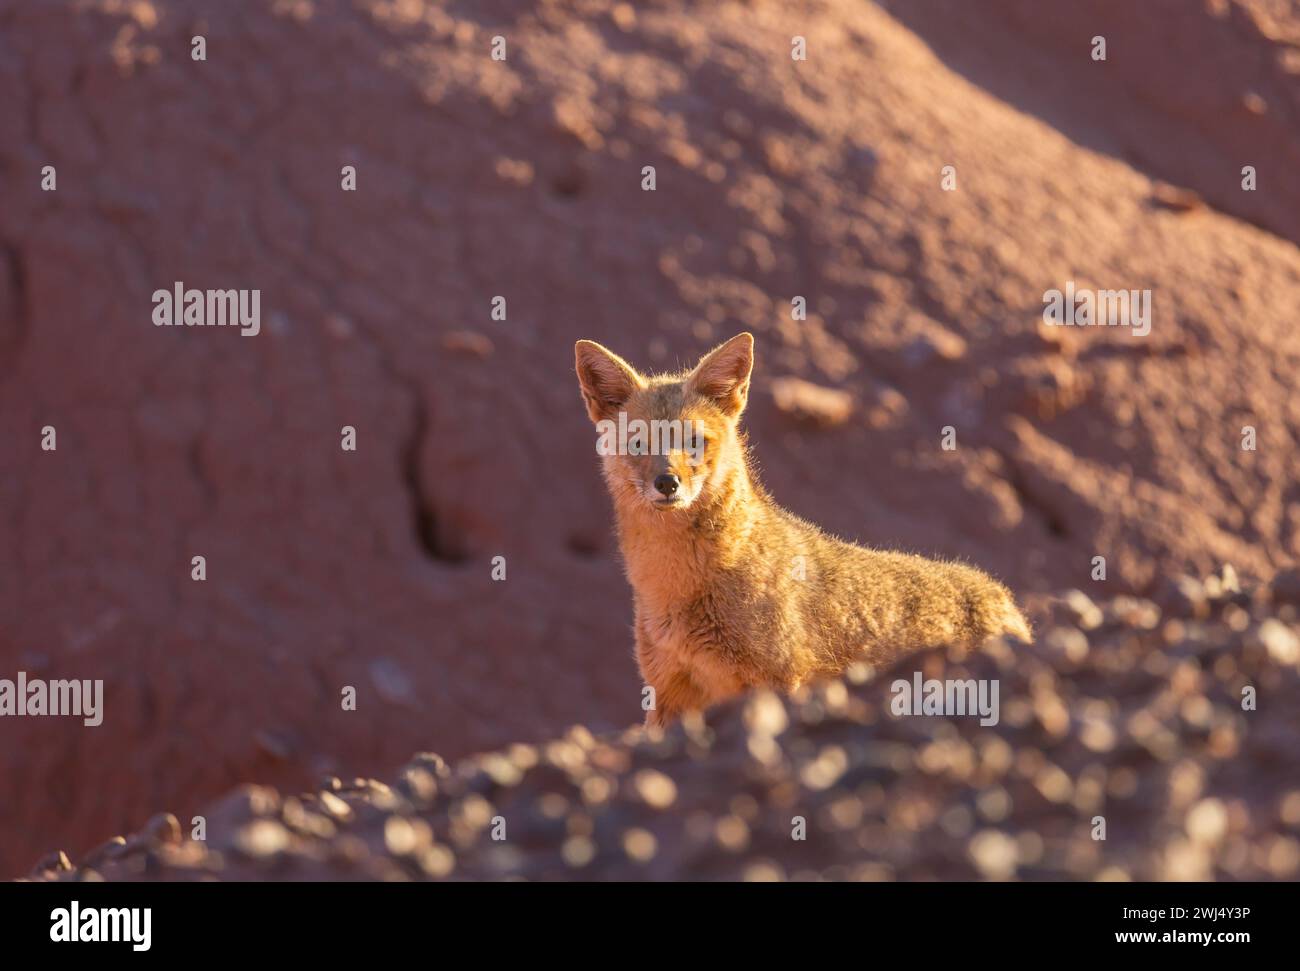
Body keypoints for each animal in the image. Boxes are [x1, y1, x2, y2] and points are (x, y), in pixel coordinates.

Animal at [574, 332, 1033, 729]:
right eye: (637, 443)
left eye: (693, 441)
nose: (667, 483)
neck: (677, 587)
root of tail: (1004, 599)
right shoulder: (668, 692)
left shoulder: (777, 681)